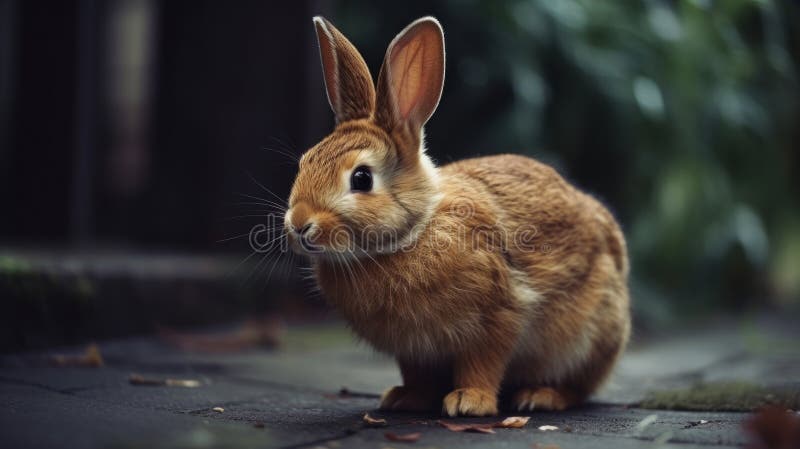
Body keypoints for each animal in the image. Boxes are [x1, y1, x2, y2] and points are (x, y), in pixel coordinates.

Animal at [284, 16, 631, 417]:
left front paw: (469, 402)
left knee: (579, 385)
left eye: (361, 178)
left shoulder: (497, 315)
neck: (414, 232)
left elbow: (483, 362)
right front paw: (406, 398)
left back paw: (541, 396)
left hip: (588, 334)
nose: (299, 225)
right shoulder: (413, 348)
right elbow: (417, 374)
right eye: (305, 161)